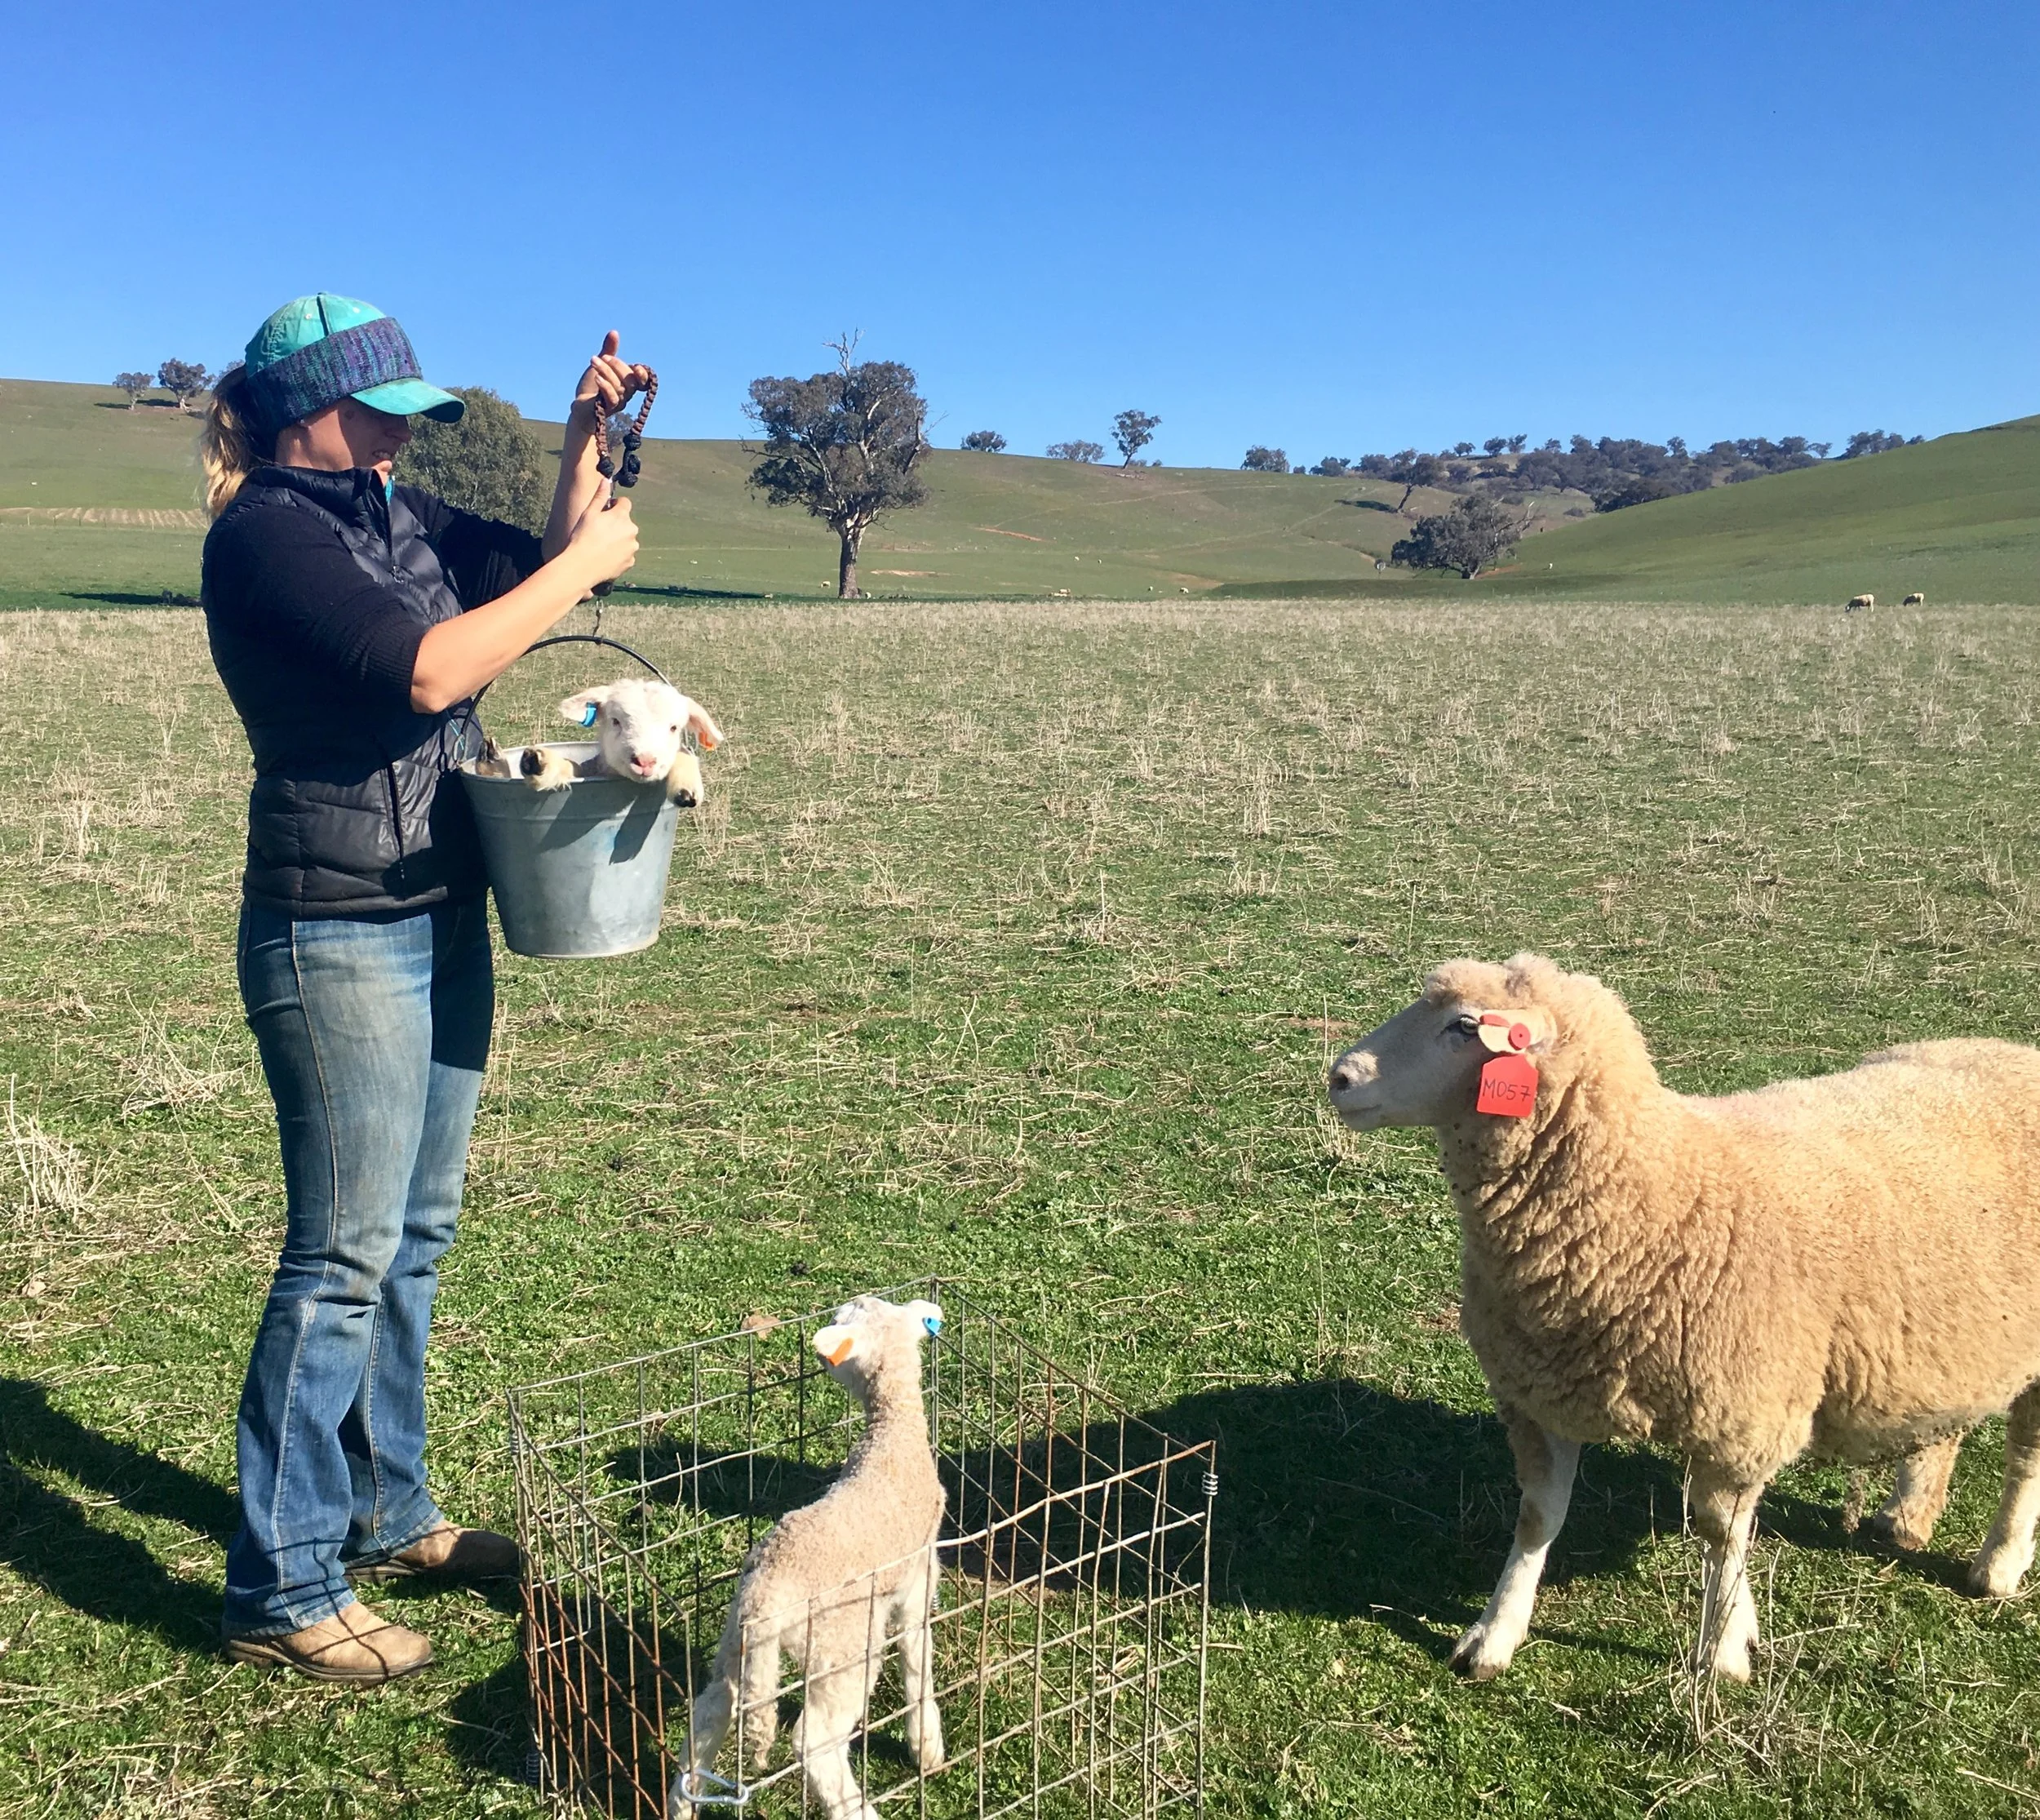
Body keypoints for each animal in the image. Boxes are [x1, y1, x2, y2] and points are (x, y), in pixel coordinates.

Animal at [519, 679, 723, 804]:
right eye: (615, 721)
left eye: (674, 728)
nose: (645, 761)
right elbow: (573, 766)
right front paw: (541, 764)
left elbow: (683, 754)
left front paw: (687, 789)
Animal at [670, 1296, 947, 1820]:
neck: (892, 1431)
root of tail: (765, 1597)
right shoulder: (919, 1575)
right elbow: (917, 1661)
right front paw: (926, 1747)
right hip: (841, 1653)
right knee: (814, 1743)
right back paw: (857, 1809)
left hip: (737, 1643)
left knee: (713, 1709)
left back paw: (682, 1804)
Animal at [1326, 953, 2040, 1684]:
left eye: (1466, 1027)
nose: (1341, 1077)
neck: (1657, 1193)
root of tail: (2012, 1052)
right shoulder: (1543, 1395)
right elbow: (1538, 1519)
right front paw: (1494, 1633)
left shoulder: (1741, 1414)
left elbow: (1722, 1536)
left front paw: (1721, 1648)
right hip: (1945, 1339)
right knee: (1946, 1424)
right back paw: (1907, 1515)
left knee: (2024, 1459)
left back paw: (1999, 1564)